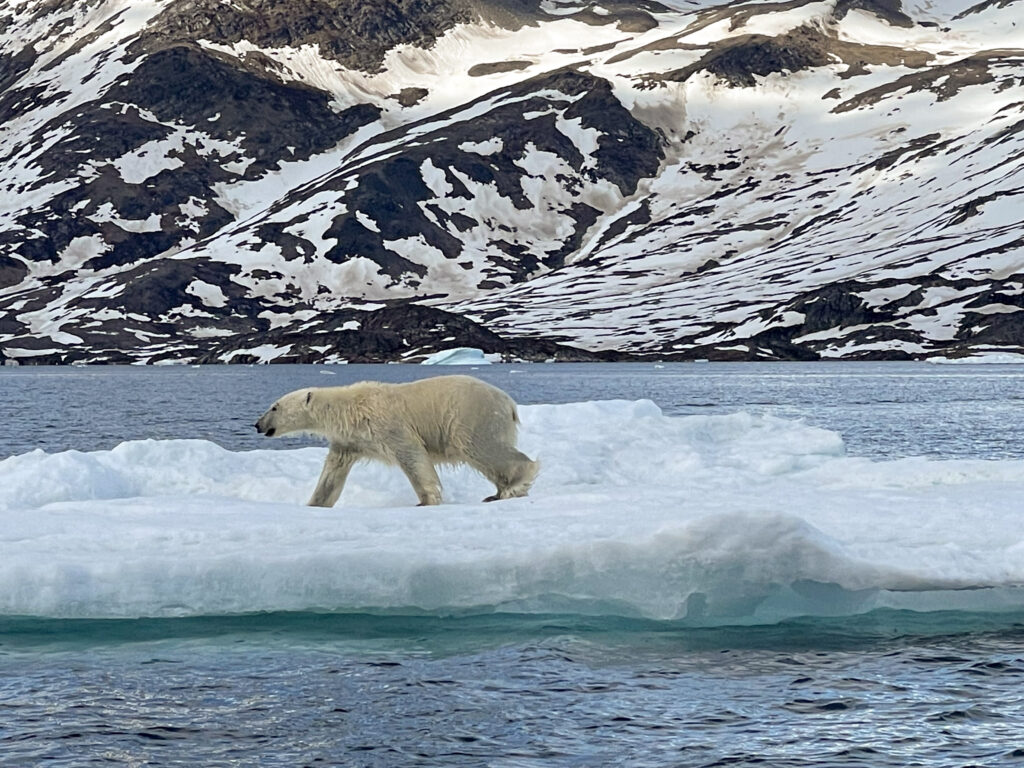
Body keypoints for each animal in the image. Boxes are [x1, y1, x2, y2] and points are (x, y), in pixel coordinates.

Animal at [255, 374, 539, 507]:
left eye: (274, 407)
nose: (257, 425)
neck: (348, 408)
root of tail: (509, 403)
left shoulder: (387, 424)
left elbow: (412, 455)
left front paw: (426, 500)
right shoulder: (349, 440)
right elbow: (332, 474)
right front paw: (314, 503)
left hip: (470, 415)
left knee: (479, 447)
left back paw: (513, 486)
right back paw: (497, 492)